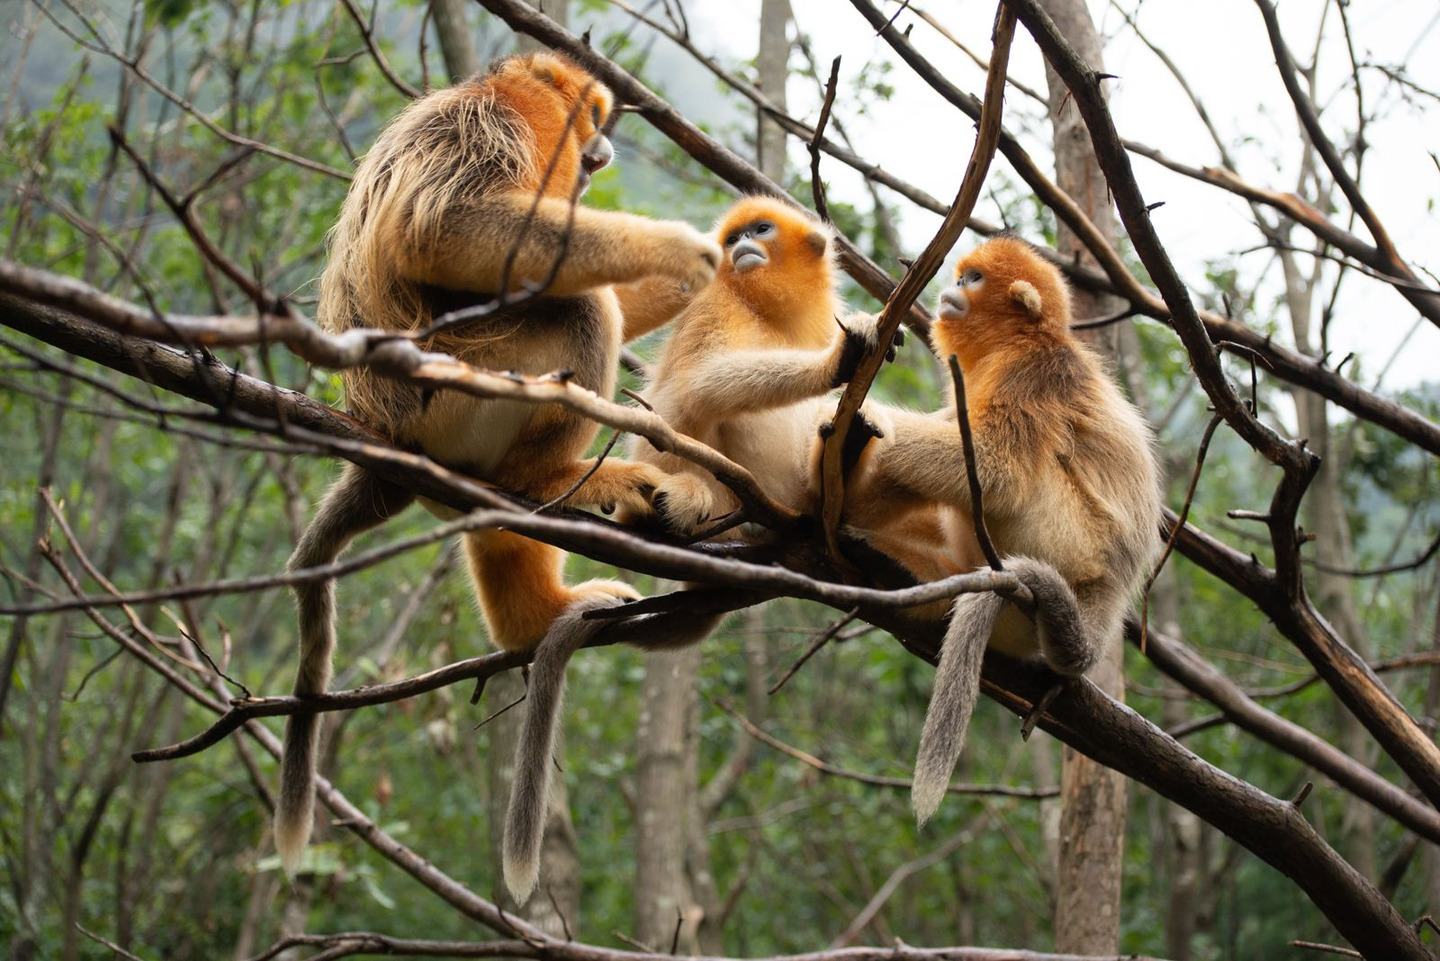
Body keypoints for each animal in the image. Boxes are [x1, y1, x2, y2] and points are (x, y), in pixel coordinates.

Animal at [275, 51, 724, 876]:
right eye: (591, 119)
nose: (601, 154)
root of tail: (380, 430)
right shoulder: (492, 128)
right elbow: (444, 230)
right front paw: (676, 249)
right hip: (464, 386)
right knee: (582, 309)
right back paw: (549, 478)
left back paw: (537, 611)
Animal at [501, 196, 903, 903]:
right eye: (735, 234)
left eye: (760, 229)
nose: (742, 245)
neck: (772, 311)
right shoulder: (717, 302)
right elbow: (696, 389)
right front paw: (838, 363)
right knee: (695, 410)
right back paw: (679, 508)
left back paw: (840, 461)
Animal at [840, 236, 1161, 825]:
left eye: (973, 280)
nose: (950, 288)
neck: (1019, 341)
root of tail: (1105, 603)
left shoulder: (1033, 373)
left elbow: (995, 470)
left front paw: (856, 411)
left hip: (1066, 541)